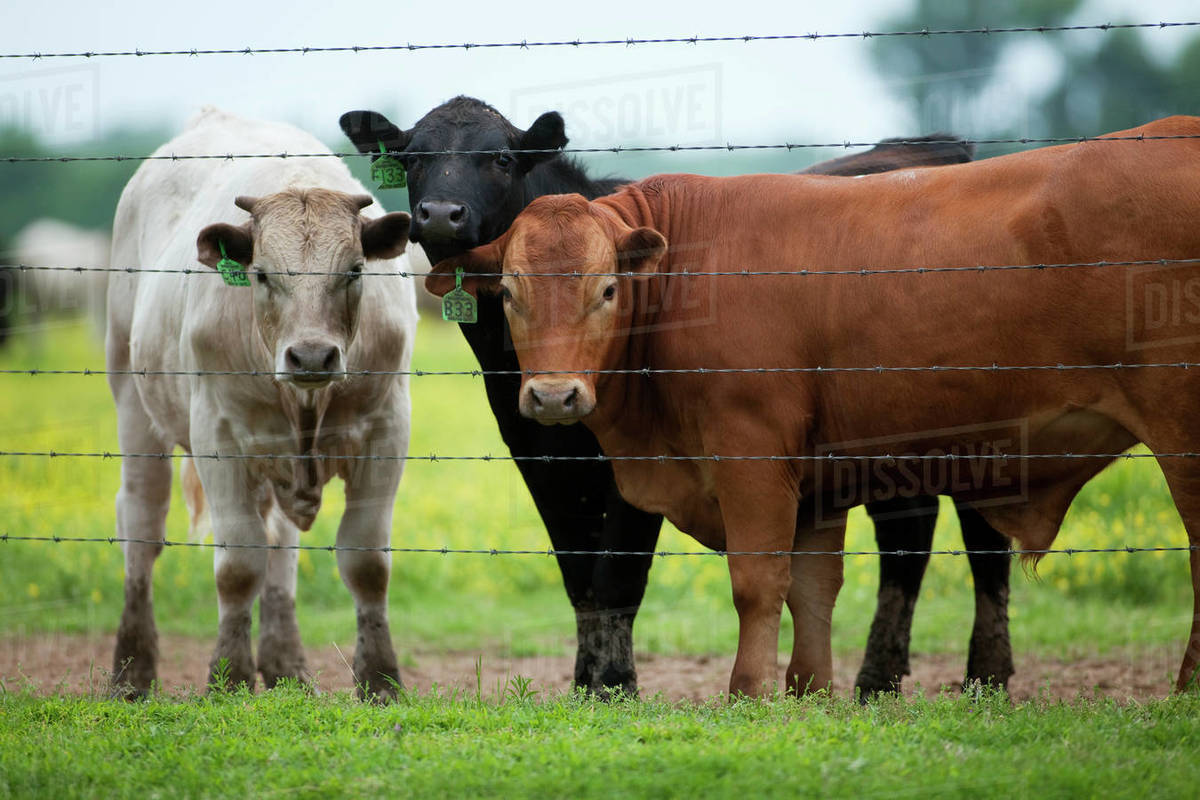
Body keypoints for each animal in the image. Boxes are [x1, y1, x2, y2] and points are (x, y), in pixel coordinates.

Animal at [107, 107, 416, 700]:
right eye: (262, 273)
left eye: (355, 270)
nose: (312, 356)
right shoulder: (219, 436)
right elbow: (238, 564)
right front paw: (226, 675)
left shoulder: (386, 430)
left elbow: (367, 561)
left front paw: (380, 678)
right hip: (132, 399)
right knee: (141, 529)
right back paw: (131, 670)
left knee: (279, 544)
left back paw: (285, 664)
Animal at [340, 97, 1008, 698]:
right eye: (412, 156)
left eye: (501, 157)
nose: (440, 214)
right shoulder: (539, 455)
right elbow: (579, 577)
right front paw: (585, 683)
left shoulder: (637, 459)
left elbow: (617, 576)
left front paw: (614, 686)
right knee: (909, 533)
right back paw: (879, 678)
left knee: (982, 540)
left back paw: (985, 675)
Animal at [424, 116, 1200, 698]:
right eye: (510, 293)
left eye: (607, 289)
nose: (554, 395)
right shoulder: (819, 477)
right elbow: (814, 586)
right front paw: (810, 691)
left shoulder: (752, 452)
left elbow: (758, 581)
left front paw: (749, 692)